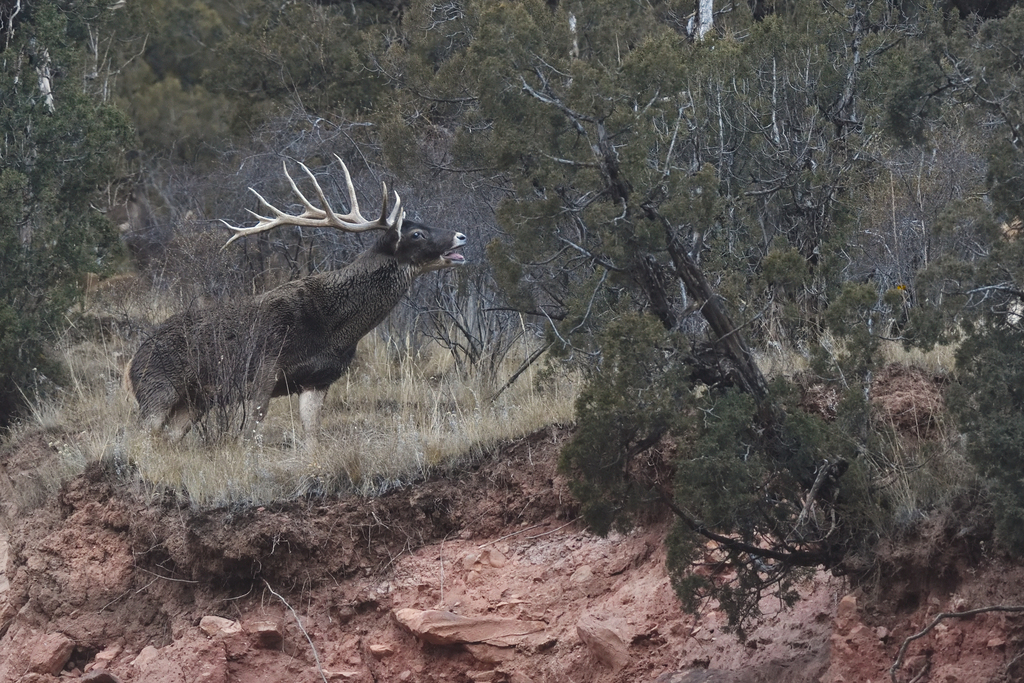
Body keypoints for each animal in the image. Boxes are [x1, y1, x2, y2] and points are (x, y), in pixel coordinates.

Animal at [125, 156, 467, 440]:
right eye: (416, 234)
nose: (461, 235)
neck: (333, 326)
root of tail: (132, 362)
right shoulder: (264, 369)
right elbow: (249, 434)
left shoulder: (318, 379)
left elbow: (312, 436)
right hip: (157, 391)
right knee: (139, 438)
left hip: (194, 402)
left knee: (167, 439)